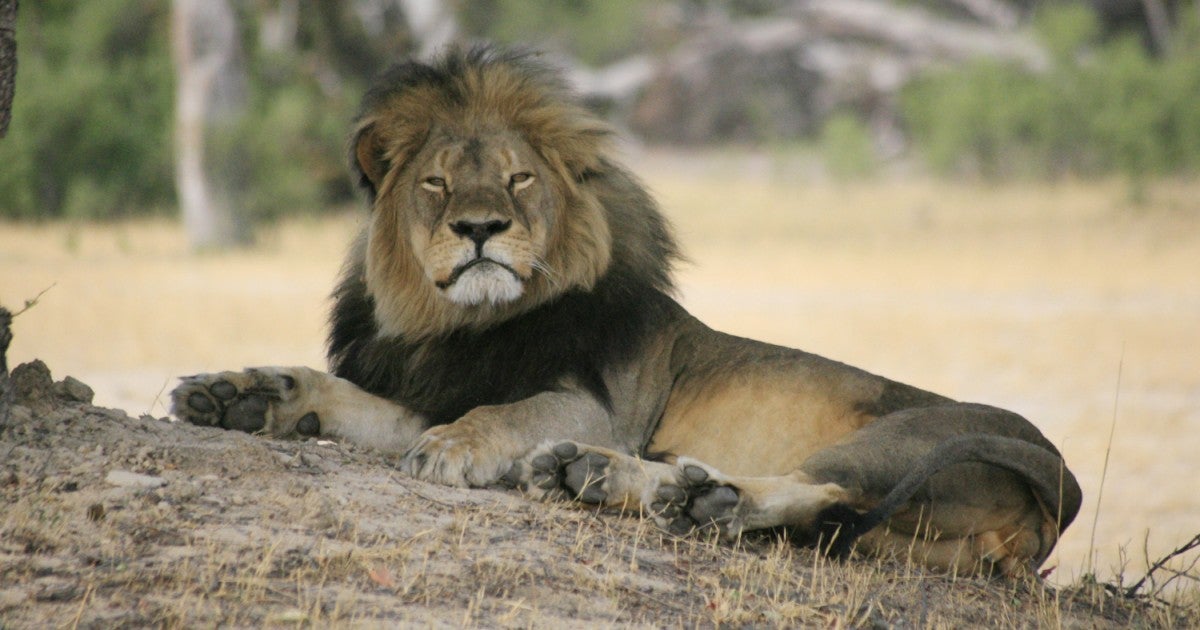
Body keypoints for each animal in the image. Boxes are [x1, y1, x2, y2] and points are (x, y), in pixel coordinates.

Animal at [172, 46, 1082, 576]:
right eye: (436, 184)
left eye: (518, 179)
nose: (478, 228)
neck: (458, 324)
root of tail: (1060, 479)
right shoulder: (428, 389)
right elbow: (338, 393)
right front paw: (237, 394)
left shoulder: (597, 406)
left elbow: (507, 413)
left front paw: (456, 451)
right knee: (823, 516)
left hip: (901, 439)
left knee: (808, 485)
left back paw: (634, 480)